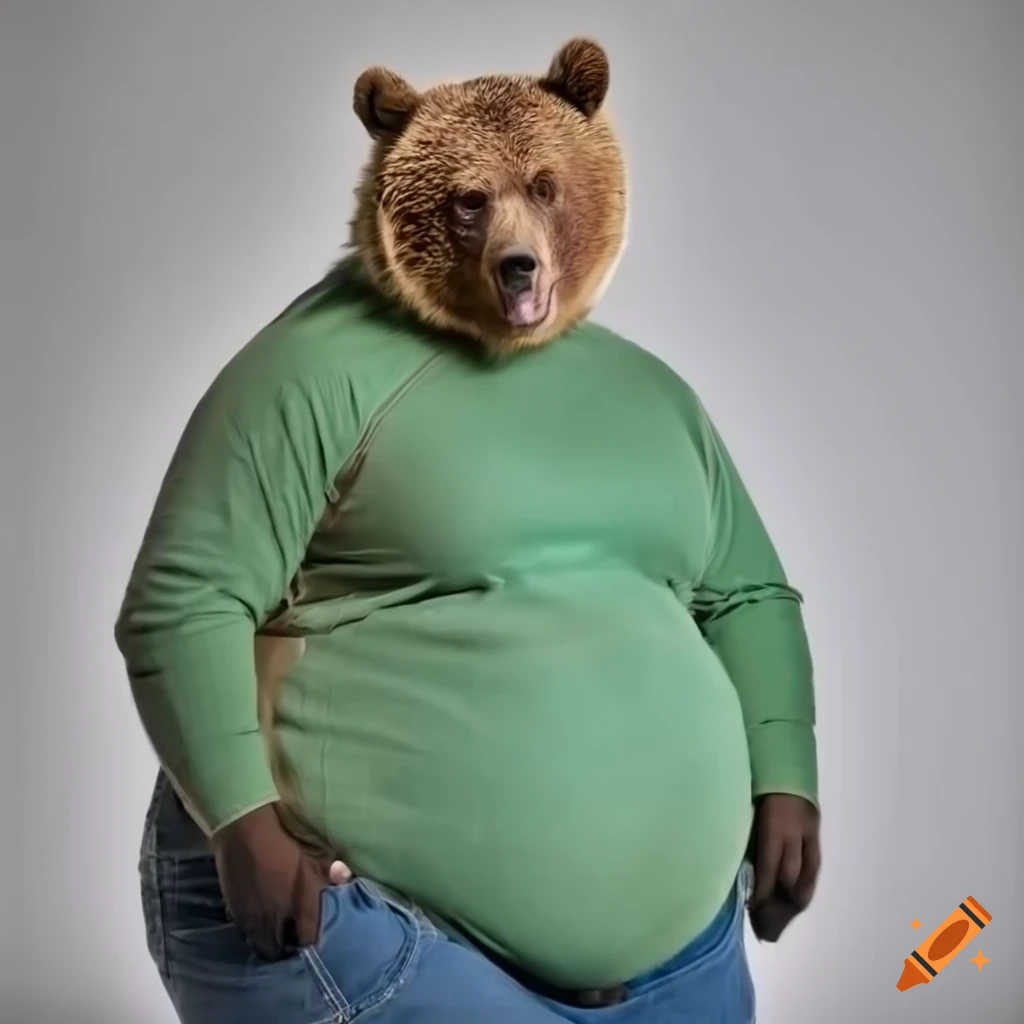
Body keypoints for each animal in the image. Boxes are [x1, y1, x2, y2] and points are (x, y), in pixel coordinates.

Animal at [117, 37, 820, 1024]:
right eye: (467, 199)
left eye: (545, 184)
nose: (519, 265)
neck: (500, 349)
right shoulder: (292, 378)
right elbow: (193, 584)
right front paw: (275, 883)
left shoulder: (677, 413)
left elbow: (743, 584)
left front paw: (789, 842)